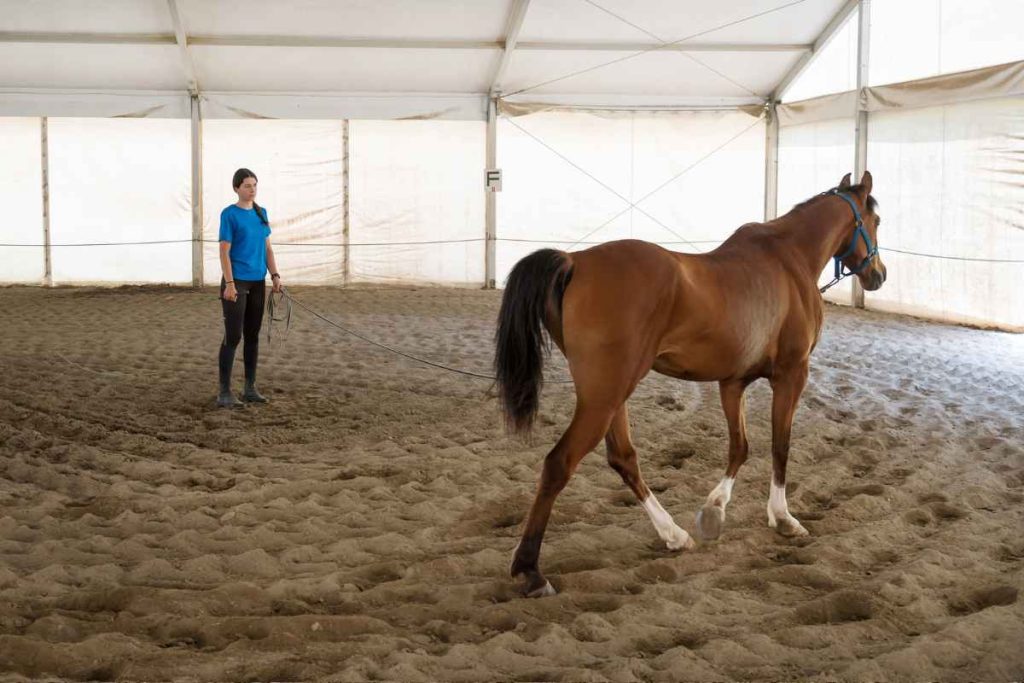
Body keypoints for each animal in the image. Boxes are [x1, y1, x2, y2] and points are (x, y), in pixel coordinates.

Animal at [494, 171, 886, 598]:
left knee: (623, 458)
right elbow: (779, 446)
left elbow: (740, 447)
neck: (789, 258)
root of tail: (574, 262)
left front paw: (714, 511)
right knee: (559, 464)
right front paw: (783, 518)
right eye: (876, 221)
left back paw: (674, 535)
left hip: (613, 395)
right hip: (603, 397)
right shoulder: (792, 374)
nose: (878, 275)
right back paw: (530, 570)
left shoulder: (733, 382)